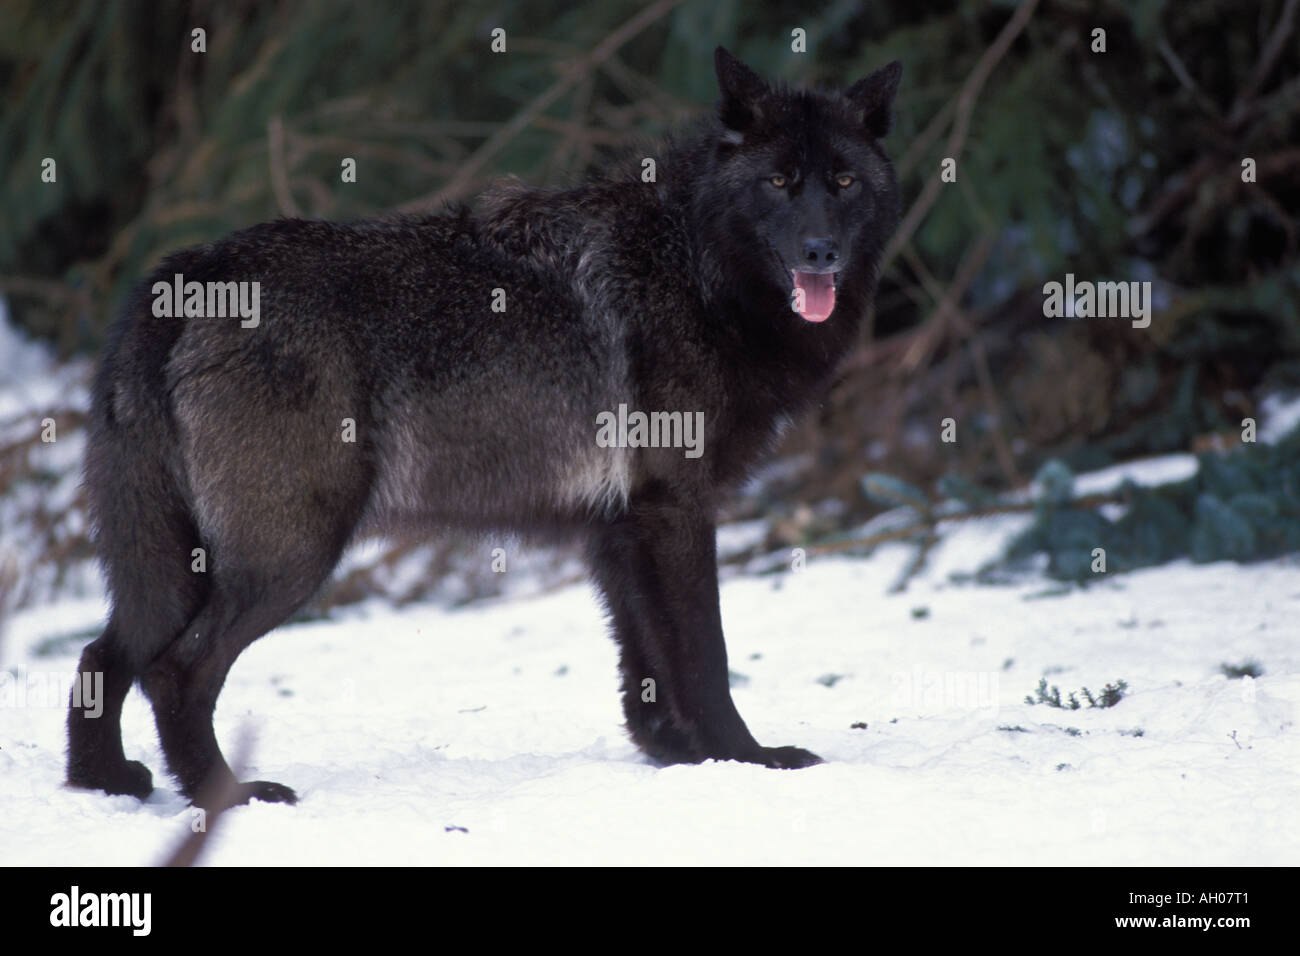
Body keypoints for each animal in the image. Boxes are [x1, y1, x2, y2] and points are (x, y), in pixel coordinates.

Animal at [67, 48, 902, 808]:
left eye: (844, 181)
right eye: (778, 183)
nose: (820, 251)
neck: (697, 264)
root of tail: (185, 276)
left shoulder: (618, 529)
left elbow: (647, 672)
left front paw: (678, 757)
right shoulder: (676, 514)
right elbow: (705, 659)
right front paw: (748, 760)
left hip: (177, 567)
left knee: (102, 654)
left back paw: (105, 783)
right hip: (289, 556)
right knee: (174, 669)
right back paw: (227, 797)